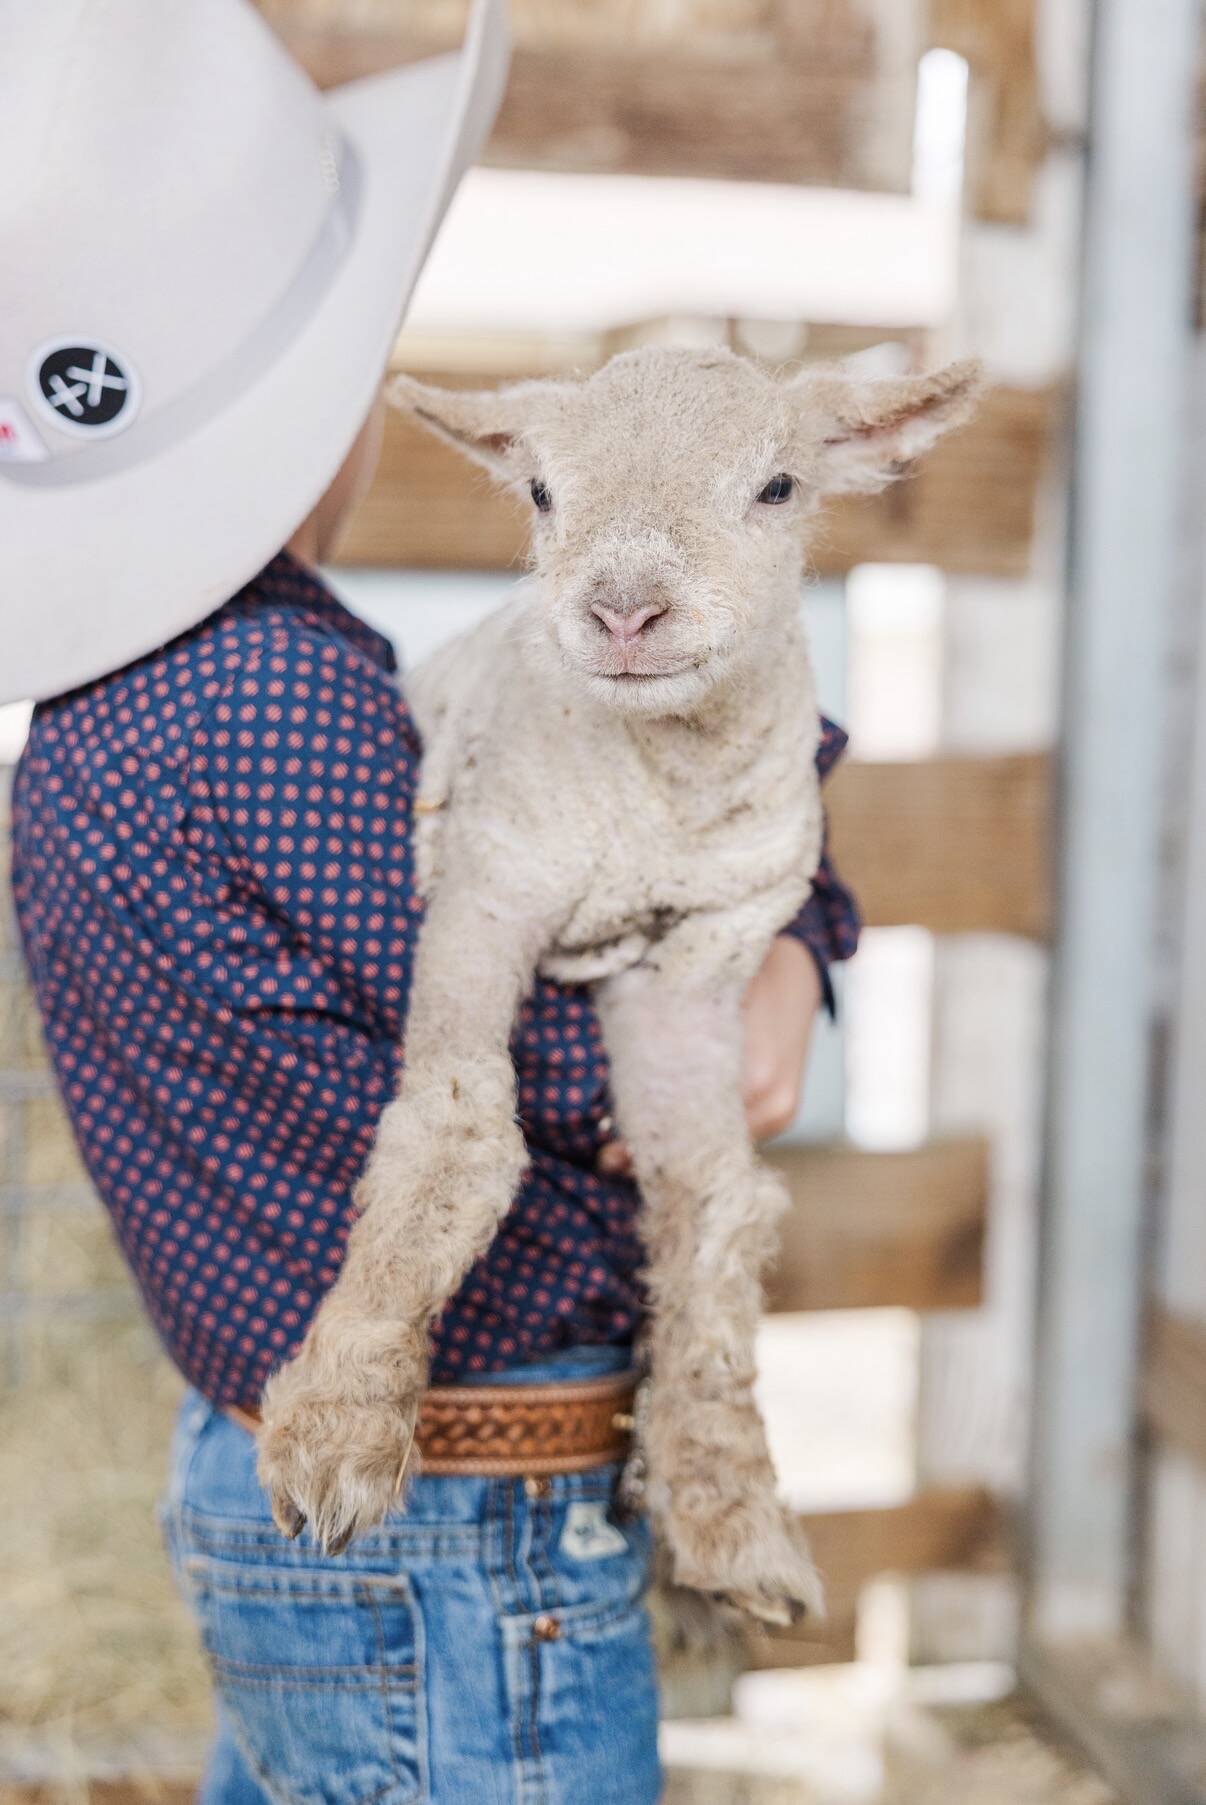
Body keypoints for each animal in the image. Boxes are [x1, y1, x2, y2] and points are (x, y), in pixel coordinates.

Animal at [257, 344, 981, 1623]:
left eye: (779, 486)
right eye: (543, 492)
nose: (625, 611)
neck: (661, 800)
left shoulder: (698, 957)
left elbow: (713, 1200)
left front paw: (726, 1502)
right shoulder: (488, 884)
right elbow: (454, 1136)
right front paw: (340, 1428)